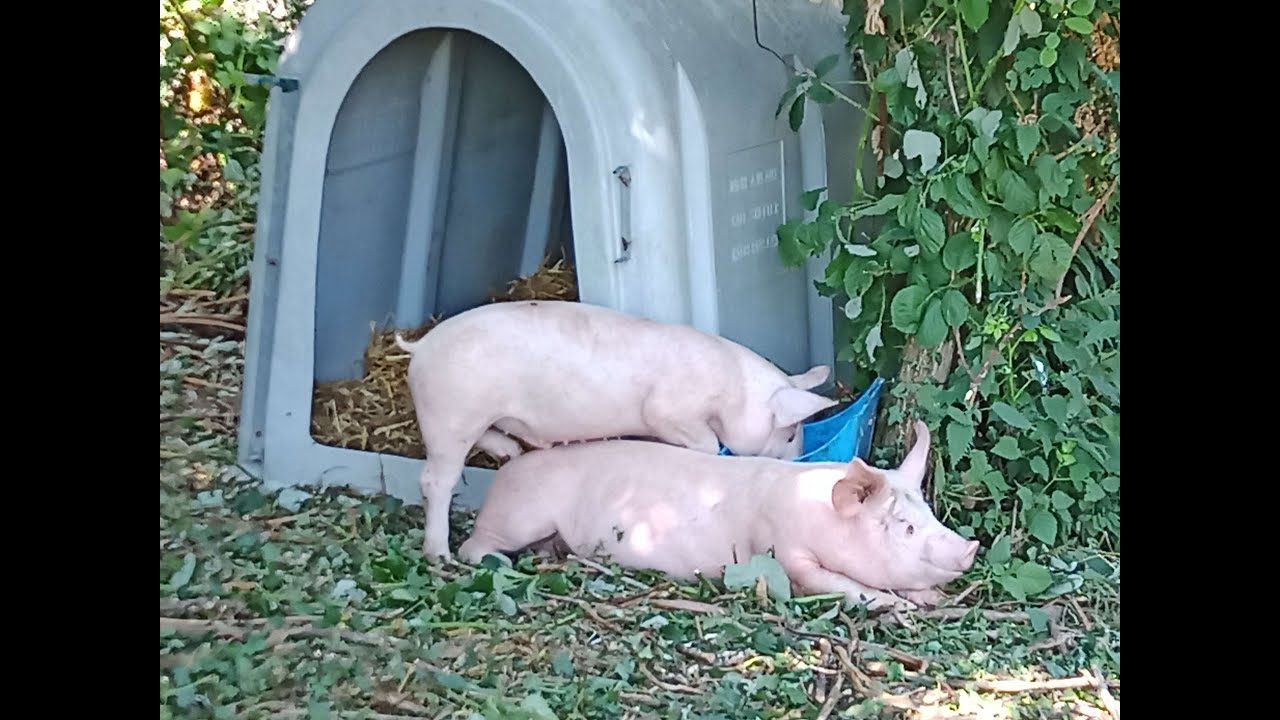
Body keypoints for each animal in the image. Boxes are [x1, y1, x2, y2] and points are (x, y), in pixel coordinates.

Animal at [393, 300, 839, 559]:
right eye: (788, 433)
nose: (798, 459)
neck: (732, 391)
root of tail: (421, 347)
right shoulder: (668, 411)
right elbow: (707, 444)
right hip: (449, 415)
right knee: (435, 480)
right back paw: (439, 555)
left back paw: (510, 452)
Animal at [458, 420, 980, 611]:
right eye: (904, 527)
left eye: (930, 515)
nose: (970, 548)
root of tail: (509, 469)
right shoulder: (783, 551)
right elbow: (832, 583)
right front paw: (901, 606)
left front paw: (928, 597)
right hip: (517, 516)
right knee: (471, 547)